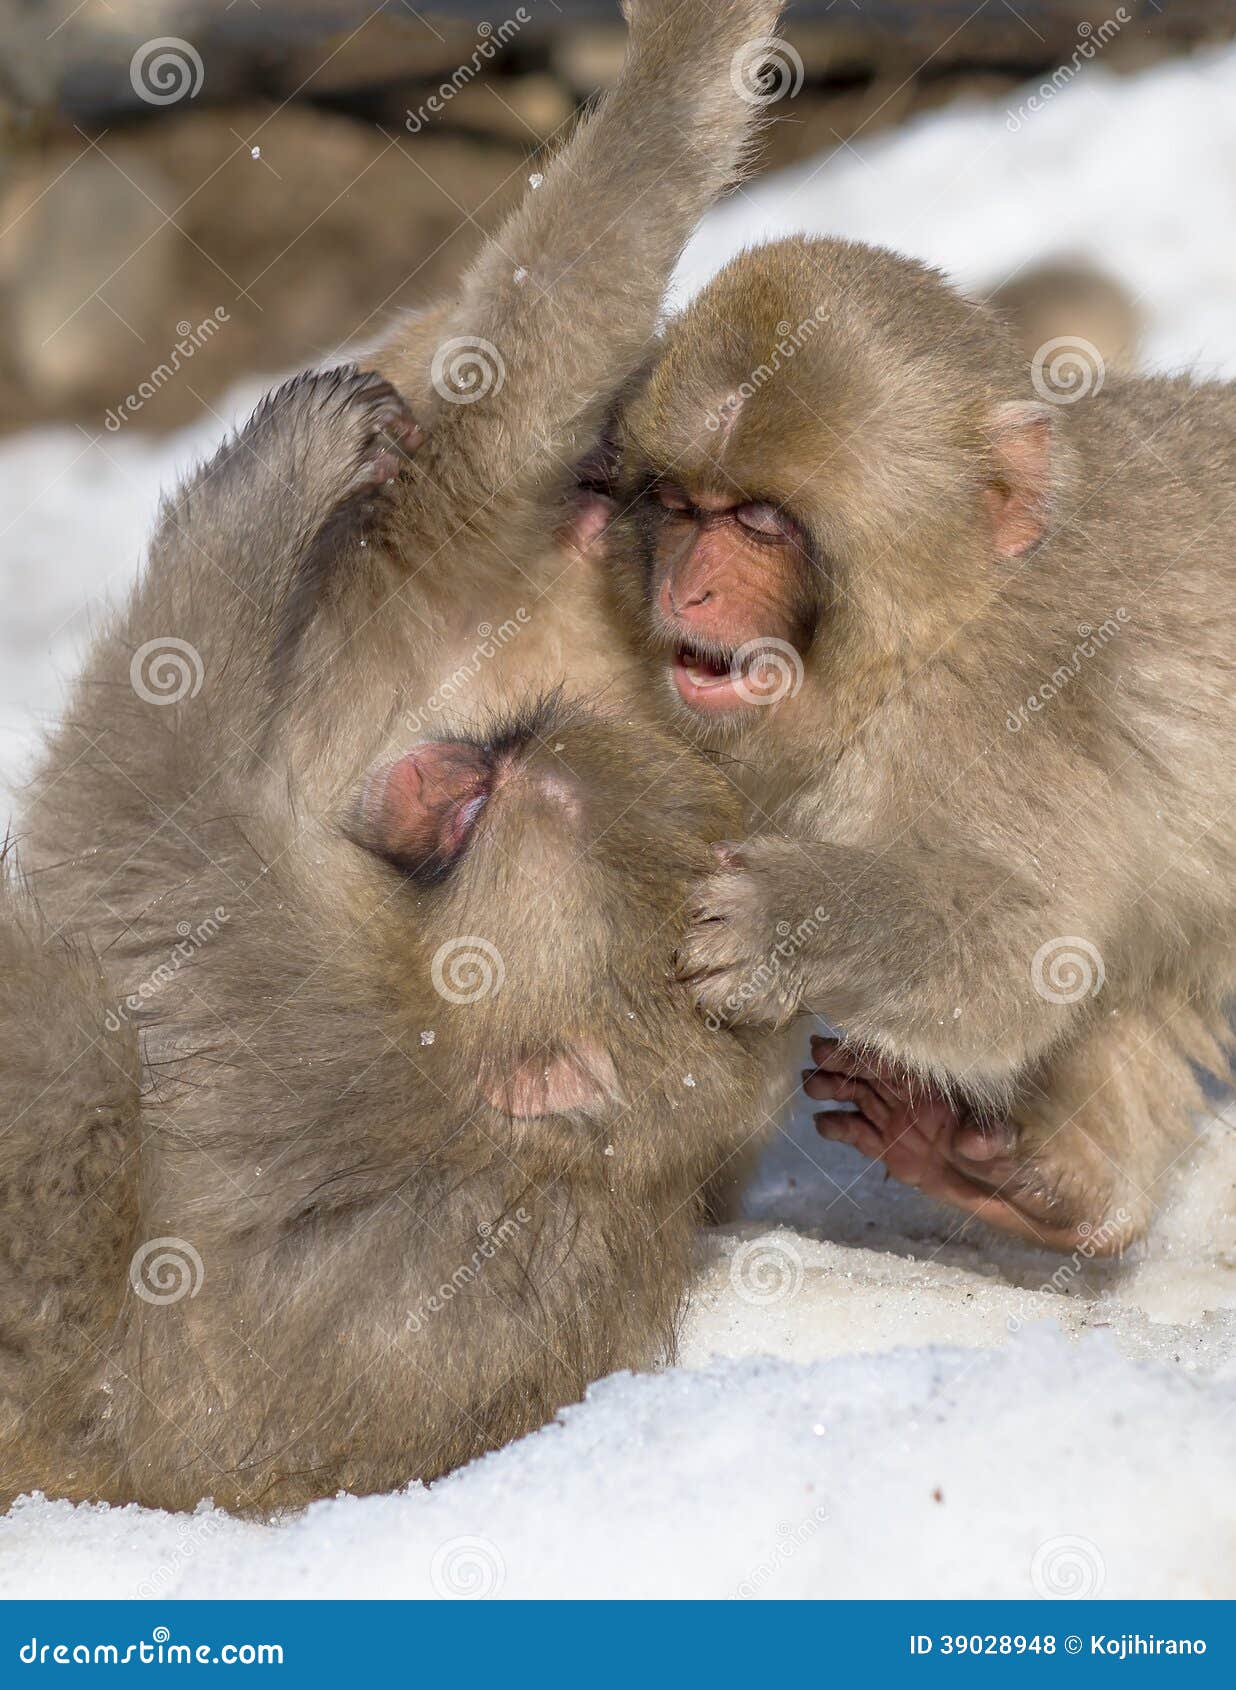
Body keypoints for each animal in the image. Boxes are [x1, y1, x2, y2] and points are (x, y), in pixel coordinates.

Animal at [0, 0, 788, 1512]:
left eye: (492, 801)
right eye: (507, 749)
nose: (430, 779)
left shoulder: (304, 1012)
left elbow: (127, 809)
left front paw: (279, 473)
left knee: (71, 1027)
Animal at [601, 232, 1236, 1255]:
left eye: (759, 521)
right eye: (684, 506)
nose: (682, 590)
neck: (935, 631)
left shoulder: (997, 713)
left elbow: (1038, 945)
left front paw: (784, 919)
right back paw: (1062, 1193)